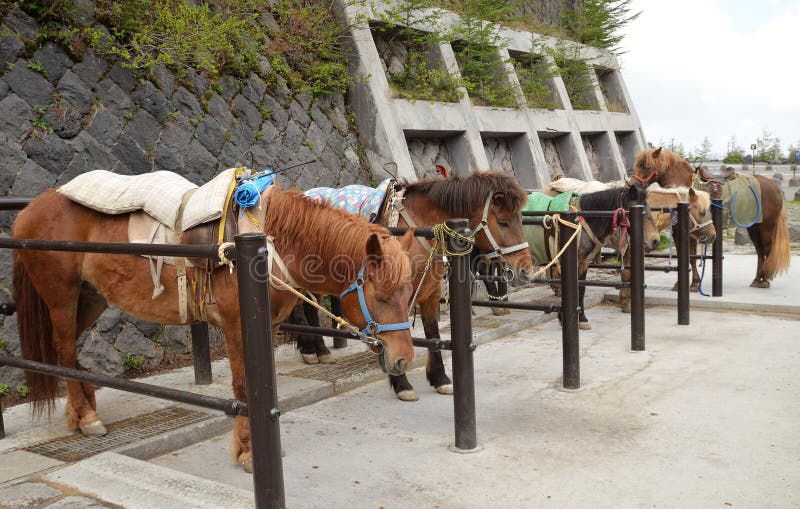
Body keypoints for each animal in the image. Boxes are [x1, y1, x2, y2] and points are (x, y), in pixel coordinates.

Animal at [12, 179, 416, 473]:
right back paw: (87, 417)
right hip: (62, 299)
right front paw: (248, 453)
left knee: (65, 349)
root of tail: (28, 212)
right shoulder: (238, 327)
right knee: (63, 348)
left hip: (91, 297)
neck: (270, 246)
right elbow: (243, 388)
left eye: (407, 292)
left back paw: (81, 406)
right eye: (382, 297)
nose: (403, 360)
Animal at [303, 170, 534, 402]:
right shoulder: (395, 298)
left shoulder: (431, 294)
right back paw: (316, 351)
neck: (420, 234)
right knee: (308, 307)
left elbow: (433, 335)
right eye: (503, 222)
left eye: (521, 220)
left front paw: (440, 379)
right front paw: (401, 383)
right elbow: (393, 333)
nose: (525, 270)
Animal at [522, 184, 661, 329]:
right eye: (642, 212)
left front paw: (582, 319)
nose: (655, 241)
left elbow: (581, 289)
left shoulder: (584, 262)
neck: (583, 223)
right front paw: (564, 318)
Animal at [633, 147, 790, 288]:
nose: (632, 184)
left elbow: (691, 257)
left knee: (767, 249)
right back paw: (758, 279)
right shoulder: (678, 231)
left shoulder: (690, 232)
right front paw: (680, 284)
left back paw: (765, 280)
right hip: (753, 227)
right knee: (760, 251)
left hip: (766, 227)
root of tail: (775, 187)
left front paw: (694, 284)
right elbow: (682, 257)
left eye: (646, 166)